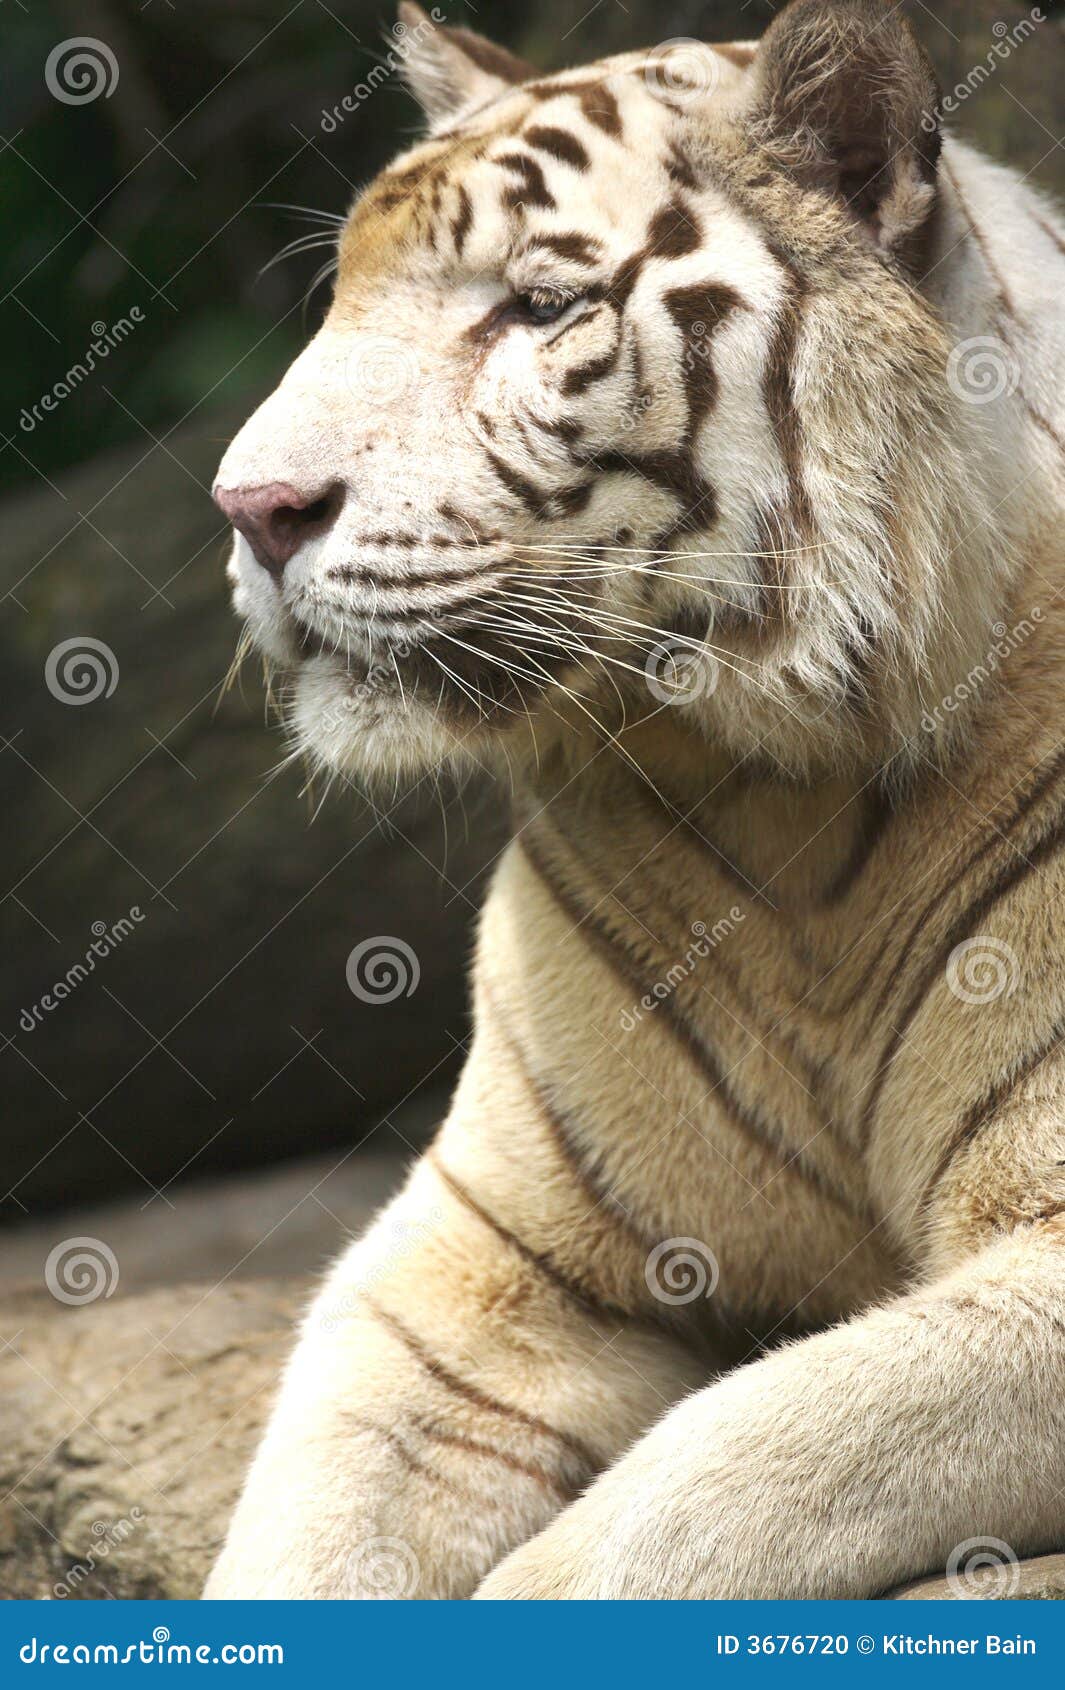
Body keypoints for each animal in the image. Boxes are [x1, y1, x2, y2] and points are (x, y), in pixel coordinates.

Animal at [205, 0, 1065, 1599]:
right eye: (337, 300)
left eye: (535, 308)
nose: (252, 509)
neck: (779, 799)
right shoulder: (489, 1262)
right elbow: (306, 1531)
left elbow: (726, 1471)